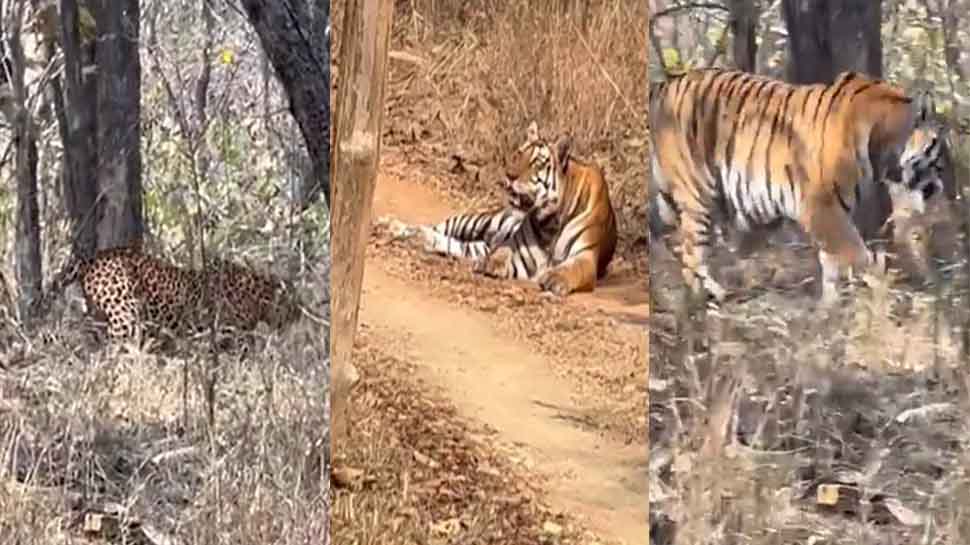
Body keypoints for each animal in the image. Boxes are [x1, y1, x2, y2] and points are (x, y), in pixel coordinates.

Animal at [420, 120, 618, 295]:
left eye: (537, 163)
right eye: (518, 154)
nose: (509, 175)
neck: (551, 220)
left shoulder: (586, 256)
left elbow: (573, 269)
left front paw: (554, 278)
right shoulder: (516, 247)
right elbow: (502, 252)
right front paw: (488, 262)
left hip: (477, 242)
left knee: (454, 243)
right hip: (479, 220)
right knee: (438, 227)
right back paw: (413, 233)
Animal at [648, 68, 945, 306]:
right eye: (938, 150)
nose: (938, 187)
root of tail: (664, 86)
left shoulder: (830, 213)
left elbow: (831, 264)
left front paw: (830, 308)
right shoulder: (822, 207)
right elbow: (856, 252)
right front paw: (882, 284)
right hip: (698, 195)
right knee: (692, 256)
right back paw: (707, 301)